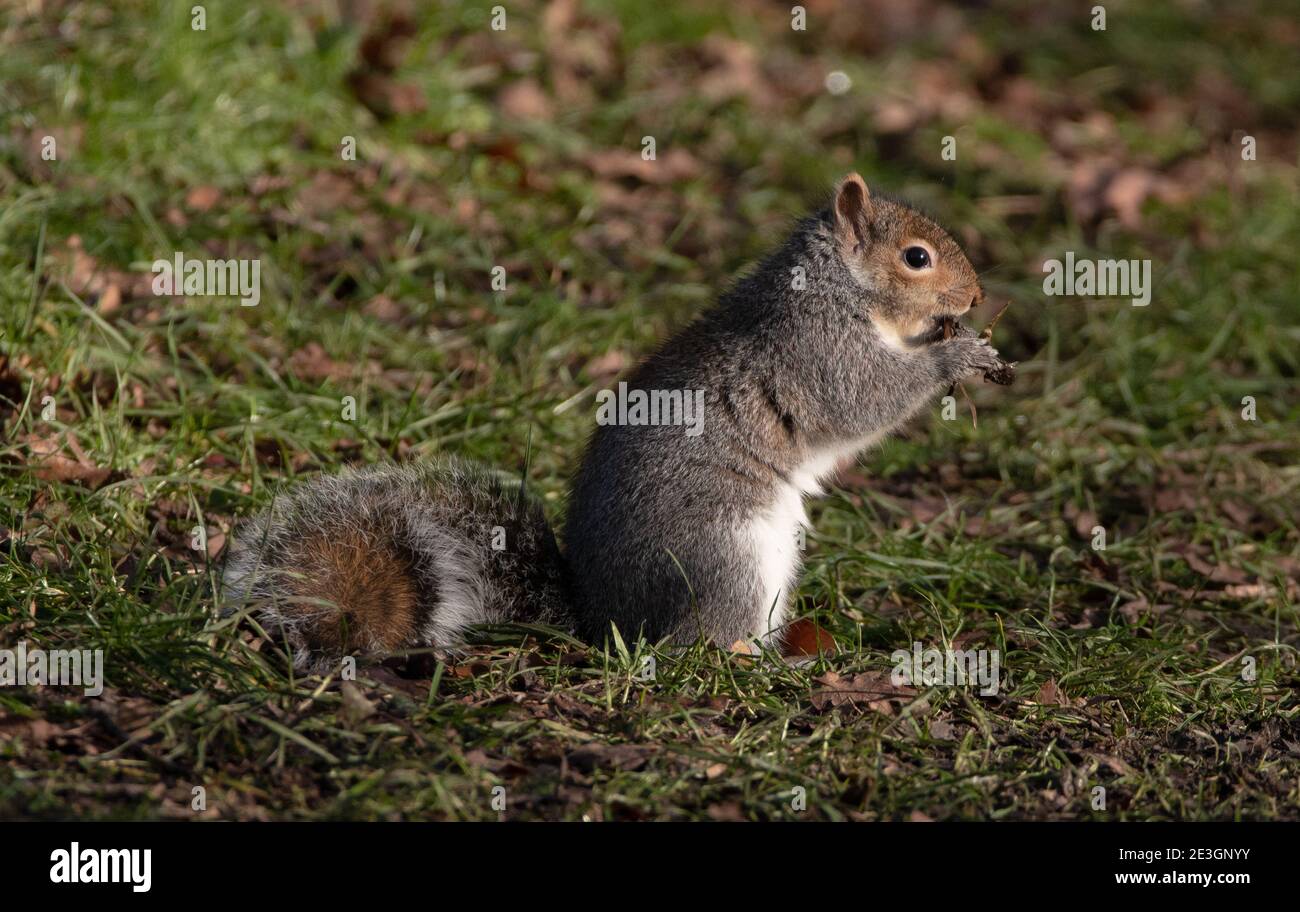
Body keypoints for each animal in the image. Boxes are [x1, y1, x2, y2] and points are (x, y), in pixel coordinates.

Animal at [221, 173, 1012, 671]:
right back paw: (762, 668)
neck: (834, 290)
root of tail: (604, 621)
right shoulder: (815, 348)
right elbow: (864, 398)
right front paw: (958, 356)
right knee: (696, 645)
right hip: (727, 554)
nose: (976, 296)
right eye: (916, 257)